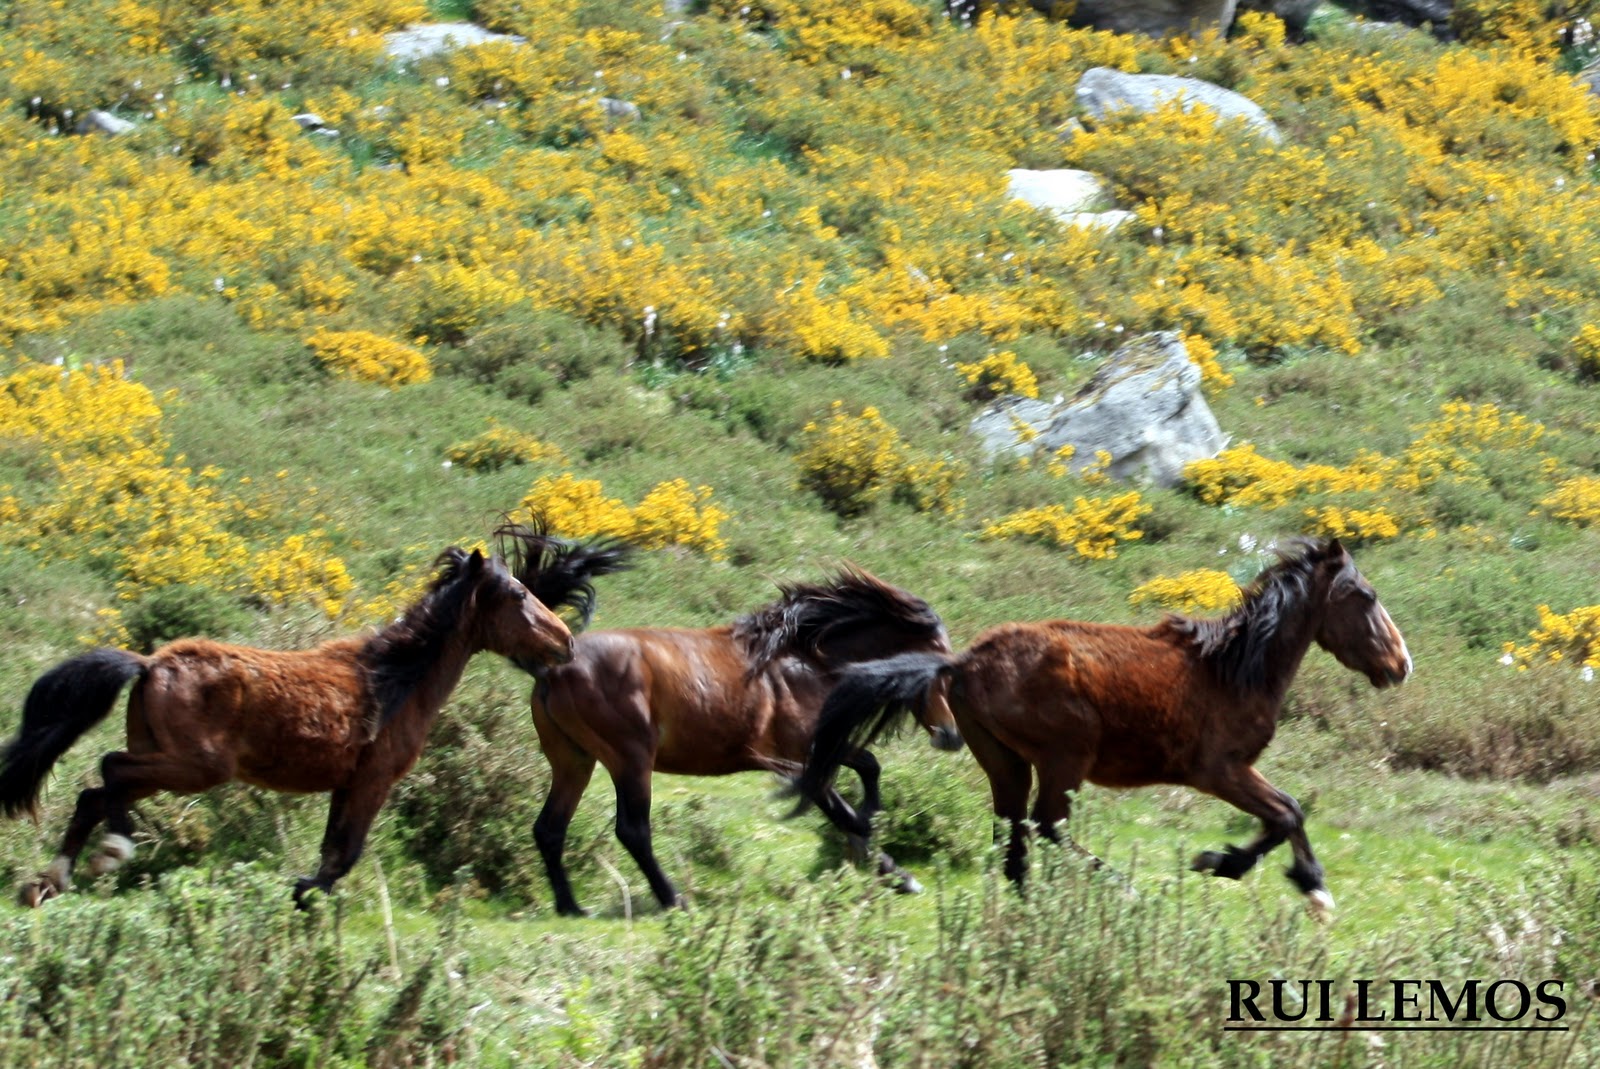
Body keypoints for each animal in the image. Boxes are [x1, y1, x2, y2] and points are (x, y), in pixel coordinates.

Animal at [0, 530, 575, 908]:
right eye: (519, 593)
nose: (566, 641)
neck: (392, 681)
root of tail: (149, 664)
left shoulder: (346, 783)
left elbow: (332, 851)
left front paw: (302, 896)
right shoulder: (374, 780)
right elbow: (344, 854)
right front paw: (302, 895)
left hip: (164, 762)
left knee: (94, 793)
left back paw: (46, 883)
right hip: (194, 767)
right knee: (109, 771)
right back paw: (109, 853)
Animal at [513, 542, 963, 916]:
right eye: (937, 672)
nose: (951, 735)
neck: (803, 661)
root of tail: (554, 667)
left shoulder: (821, 745)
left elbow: (867, 770)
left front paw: (875, 834)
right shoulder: (797, 760)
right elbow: (846, 813)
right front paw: (898, 873)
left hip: (574, 760)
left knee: (549, 829)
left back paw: (571, 906)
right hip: (631, 758)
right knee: (632, 830)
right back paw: (674, 900)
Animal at [794, 538, 1411, 917]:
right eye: (1366, 596)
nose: (1401, 665)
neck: (1233, 669)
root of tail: (962, 663)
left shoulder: (1229, 773)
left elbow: (1285, 814)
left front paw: (1232, 863)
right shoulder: (1219, 770)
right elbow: (1288, 812)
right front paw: (1297, 884)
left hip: (1006, 762)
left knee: (1014, 836)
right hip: (1065, 756)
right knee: (1046, 826)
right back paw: (1122, 890)